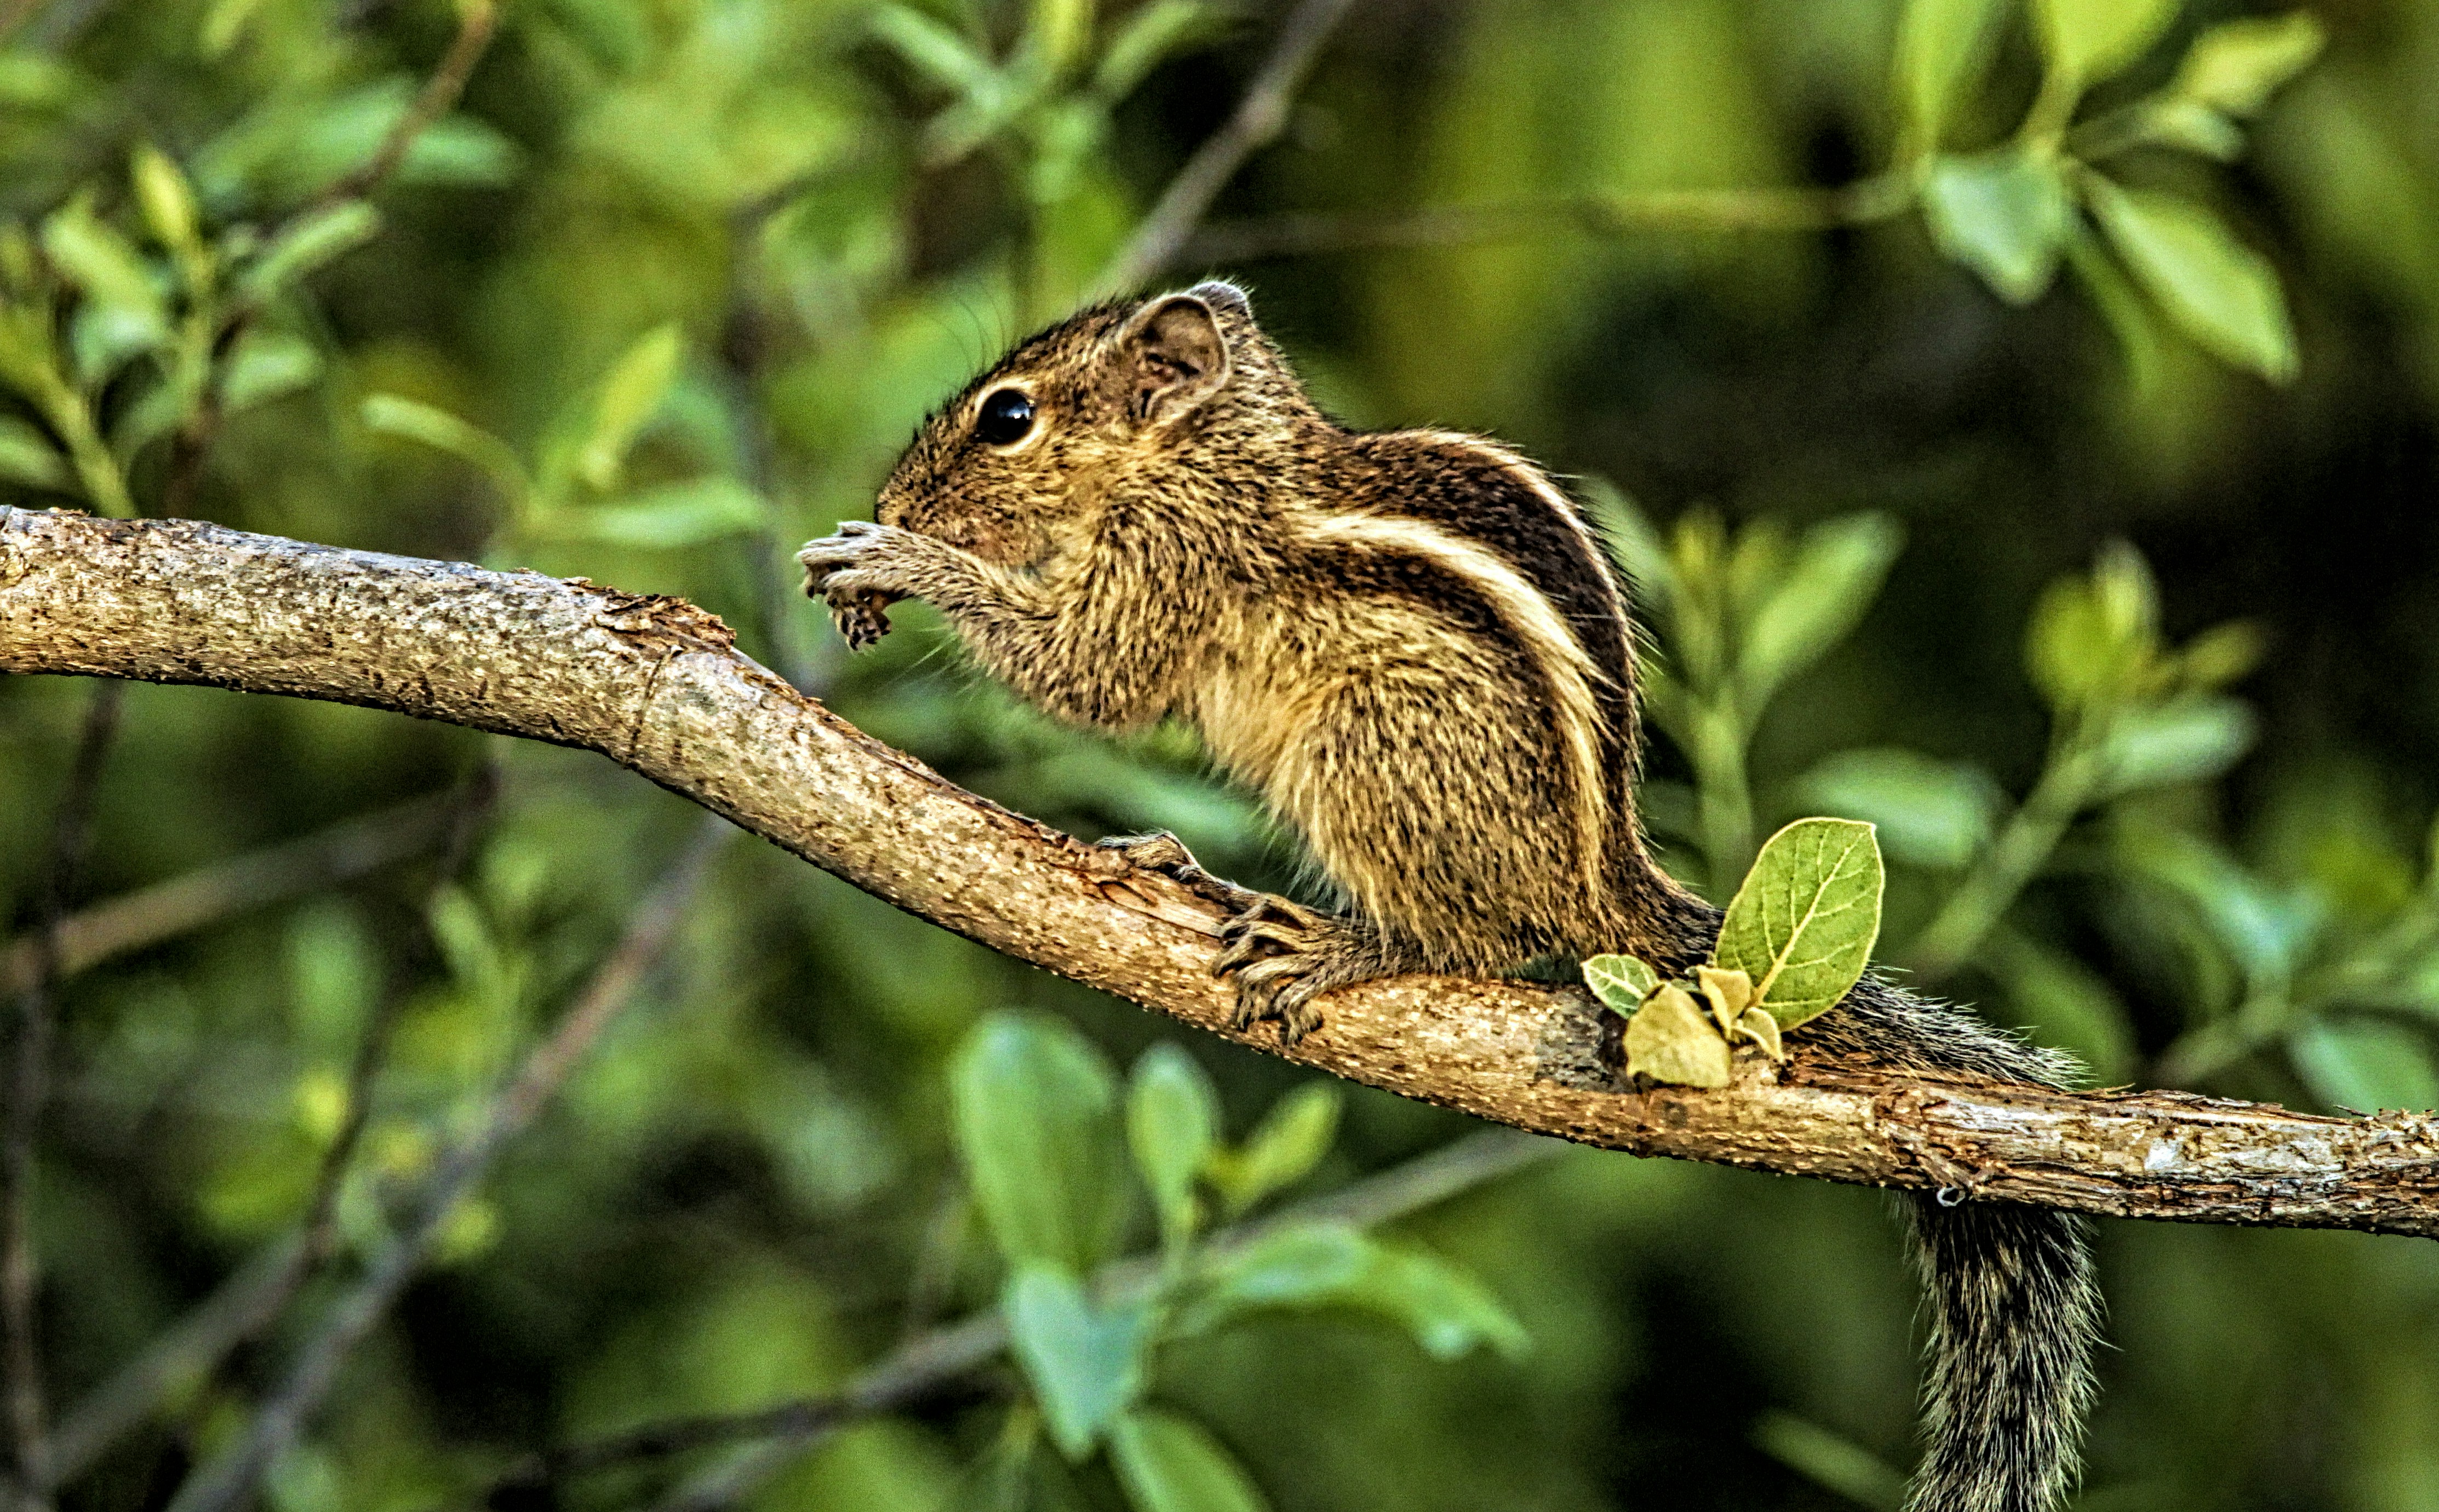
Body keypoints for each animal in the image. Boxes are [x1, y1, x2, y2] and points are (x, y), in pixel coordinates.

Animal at [798, 281, 2101, 1512]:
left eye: (1006, 418)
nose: (899, 499)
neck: (1213, 457)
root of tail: (1596, 877)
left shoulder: (1168, 562)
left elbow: (1085, 676)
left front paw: (897, 561)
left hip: (1368, 748)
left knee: (1475, 941)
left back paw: (1336, 946)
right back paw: (1192, 871)